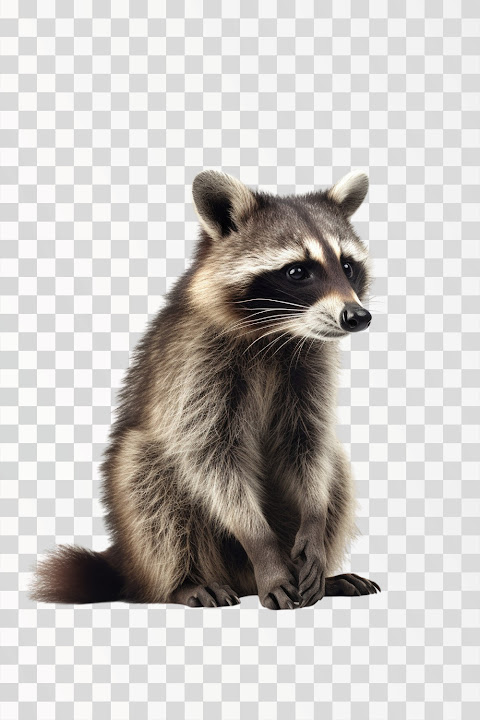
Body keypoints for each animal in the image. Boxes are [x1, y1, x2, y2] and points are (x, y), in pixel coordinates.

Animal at [29, 169, 381, 610]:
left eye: (347, 266)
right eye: (297, 271)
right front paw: (263, 546)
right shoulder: (196, 367)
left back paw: (329, 573)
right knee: (147, 476)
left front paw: (315, 523)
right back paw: (185, 581)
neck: (278, 333)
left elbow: (309, 443)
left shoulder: (309, 366)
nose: (358, 316)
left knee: (337, 464)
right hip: (146, 512)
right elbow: (211, 456)